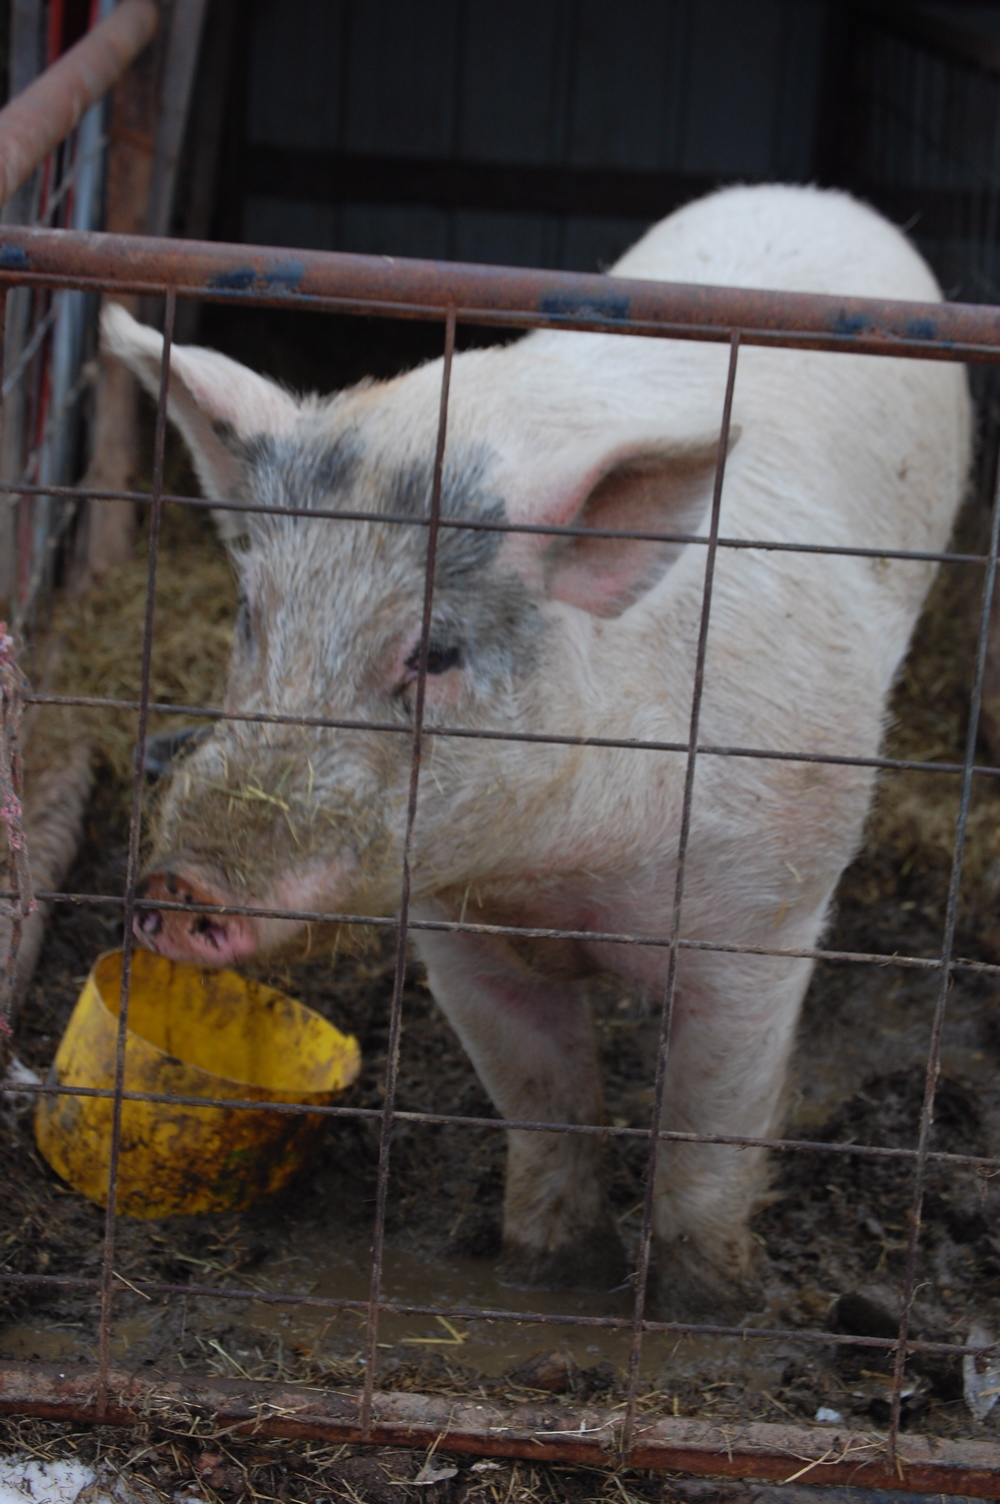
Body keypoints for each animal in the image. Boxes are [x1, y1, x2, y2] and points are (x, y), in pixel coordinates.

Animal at [104, 184, 971, 1319]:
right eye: (252, 612)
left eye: (434, 650)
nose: (179, 882)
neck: (564, 871)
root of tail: (816, 196)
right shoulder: (456, 932)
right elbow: (545, 1099)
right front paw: (546, 1269)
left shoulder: (763, 918)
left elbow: (708, 1130)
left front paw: (699, 1304)